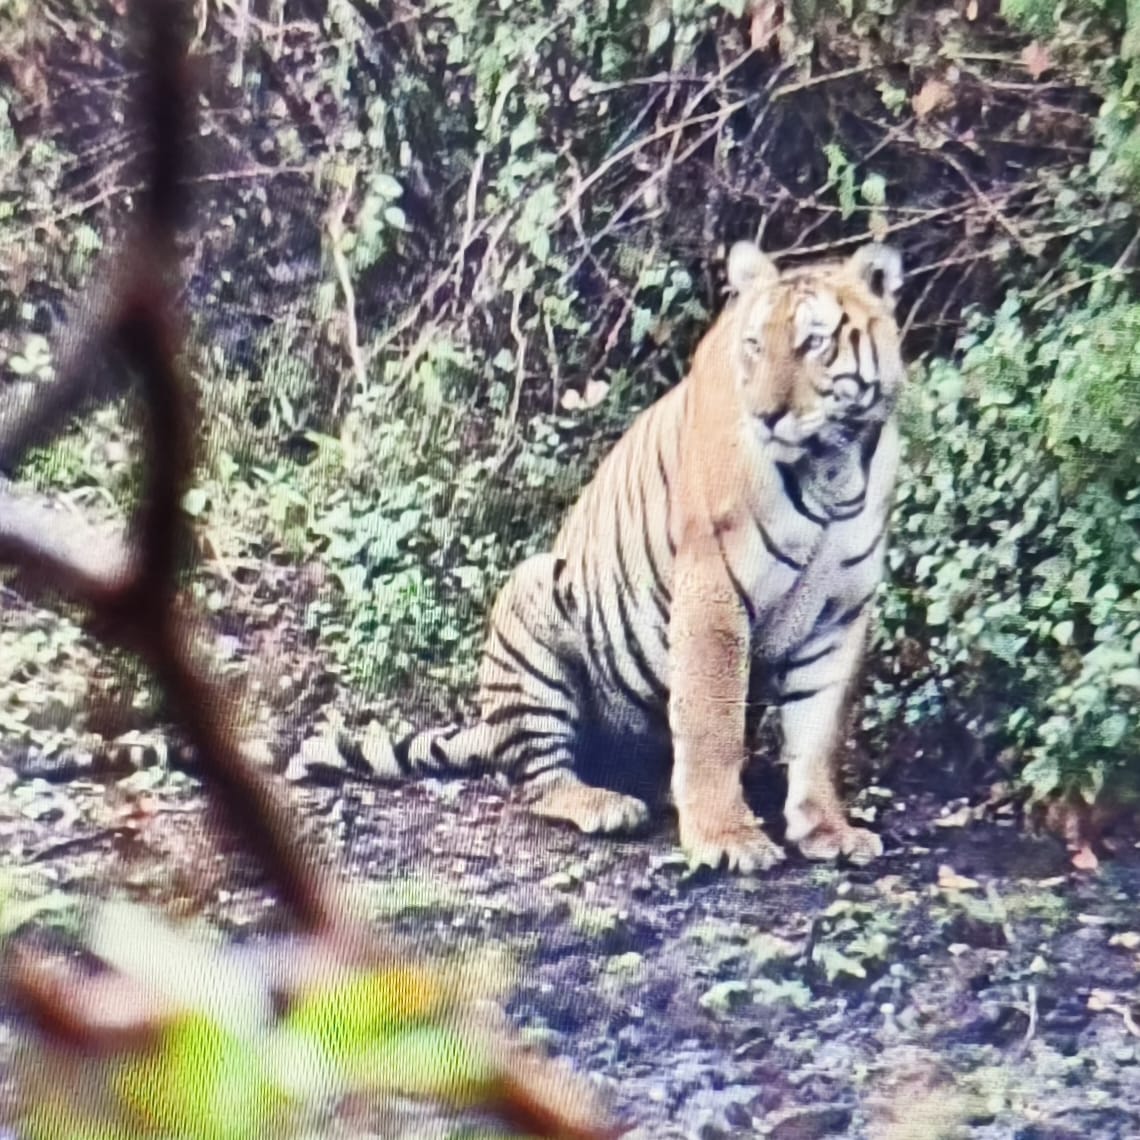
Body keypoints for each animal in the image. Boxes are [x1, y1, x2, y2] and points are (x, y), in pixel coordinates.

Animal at [369, 239, 906, 873]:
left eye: (813, 342)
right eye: (754, 345)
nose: (766, 415)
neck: (831, 466)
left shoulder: (839, 615)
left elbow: (818, 732)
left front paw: (826, 829)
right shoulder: (713, 593)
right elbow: (712, 724)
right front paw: (727, 838)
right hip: (532, 600)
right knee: (540, 779)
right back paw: (606, 806)